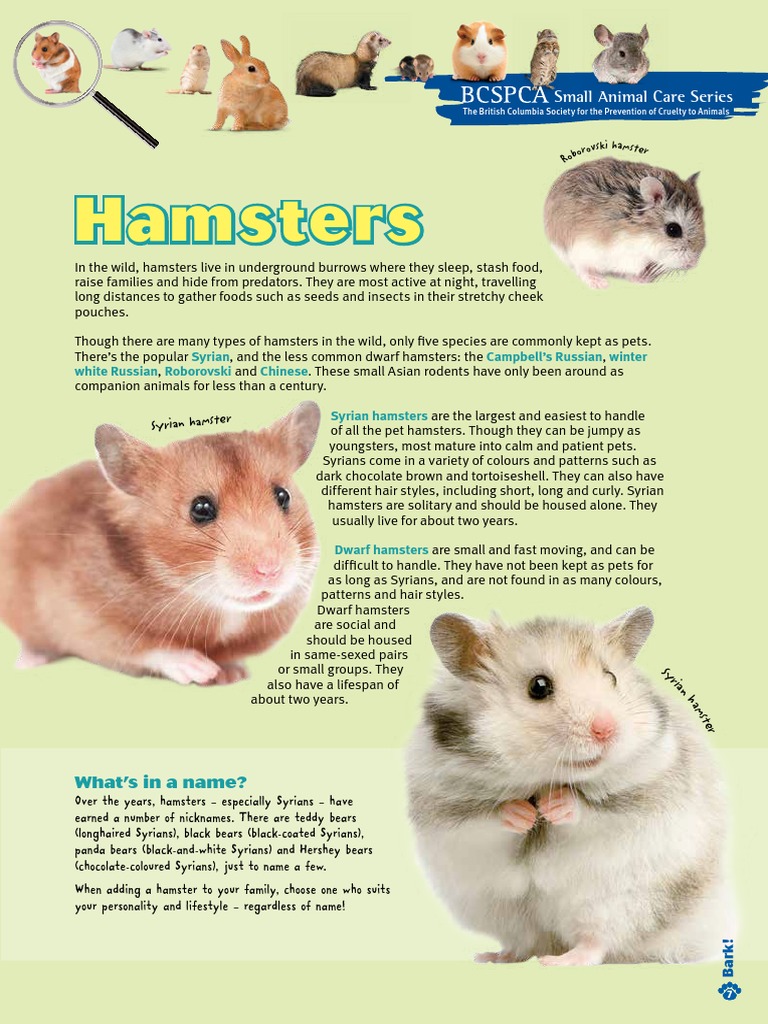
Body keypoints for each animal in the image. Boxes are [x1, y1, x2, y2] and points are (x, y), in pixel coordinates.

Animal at [0, 403, 320, 686]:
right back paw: (28, 662)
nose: (270, 570)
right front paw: (201, 669)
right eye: (200, 508)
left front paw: (232, 674)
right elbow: (146, 647)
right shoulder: (86, 620)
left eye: (283, 496)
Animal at [406, 608, 734, 965]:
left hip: (618, 903)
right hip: (501, 910)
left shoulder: (642, 793)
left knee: (597, 942)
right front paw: (523, 813)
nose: (607, 729)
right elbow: (488, 818)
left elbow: (589, 810)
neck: (541, 779)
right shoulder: (447, 809)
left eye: (611, 677)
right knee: (525, 943)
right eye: (539, 686)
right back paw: (494, 956)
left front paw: (554, 805)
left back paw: (559, 961)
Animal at [543, 157, 705, 289]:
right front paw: (645, 277)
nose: (693, 264)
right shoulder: (626, 255)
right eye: (673, 230)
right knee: (581, 268)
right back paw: (599, 283)